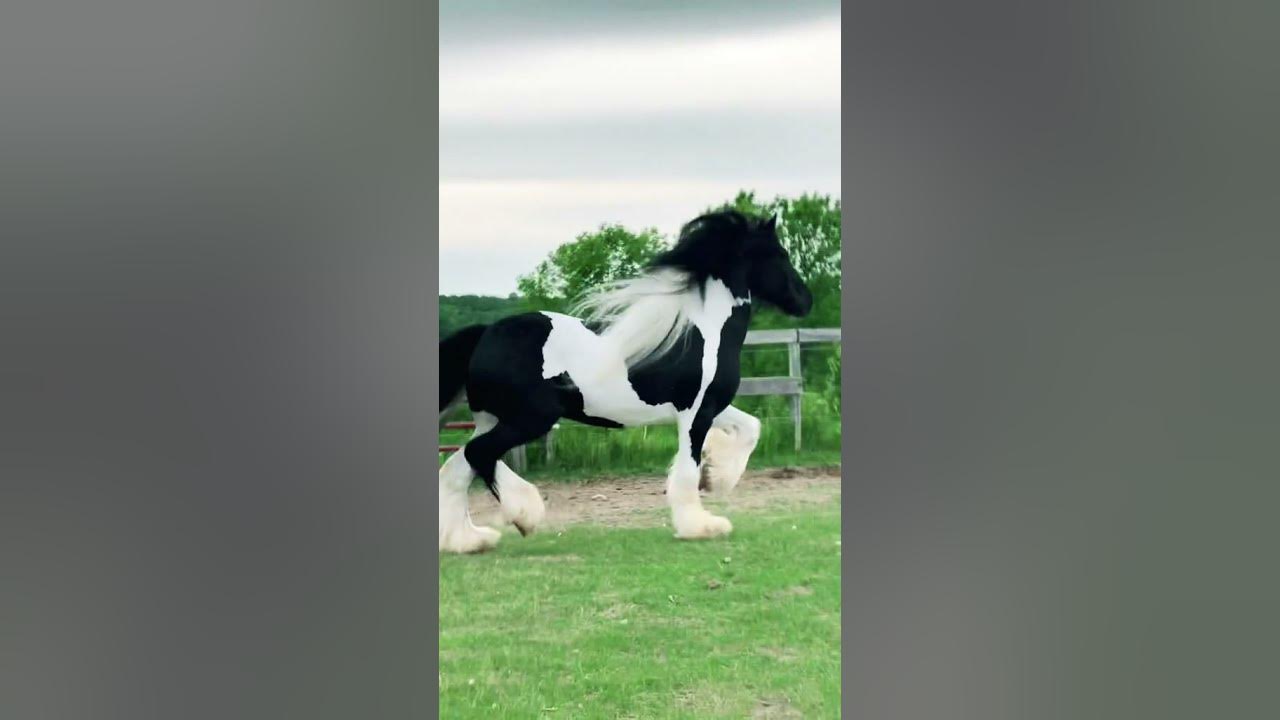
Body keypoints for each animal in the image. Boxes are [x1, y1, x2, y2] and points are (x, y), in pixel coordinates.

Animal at [438, 209, 813, 553]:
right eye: (781, 255)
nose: (804, 300)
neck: (704, 333)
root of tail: (485, 334)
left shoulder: (708, 406)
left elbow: (751, 427)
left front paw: (715, 477)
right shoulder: (696, 412)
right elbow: (686, 471)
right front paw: (702, 525)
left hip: (492, 418)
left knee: (458, 468)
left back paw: (469, 540)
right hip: (530, 419)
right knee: (478, 454)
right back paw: (524, 516)